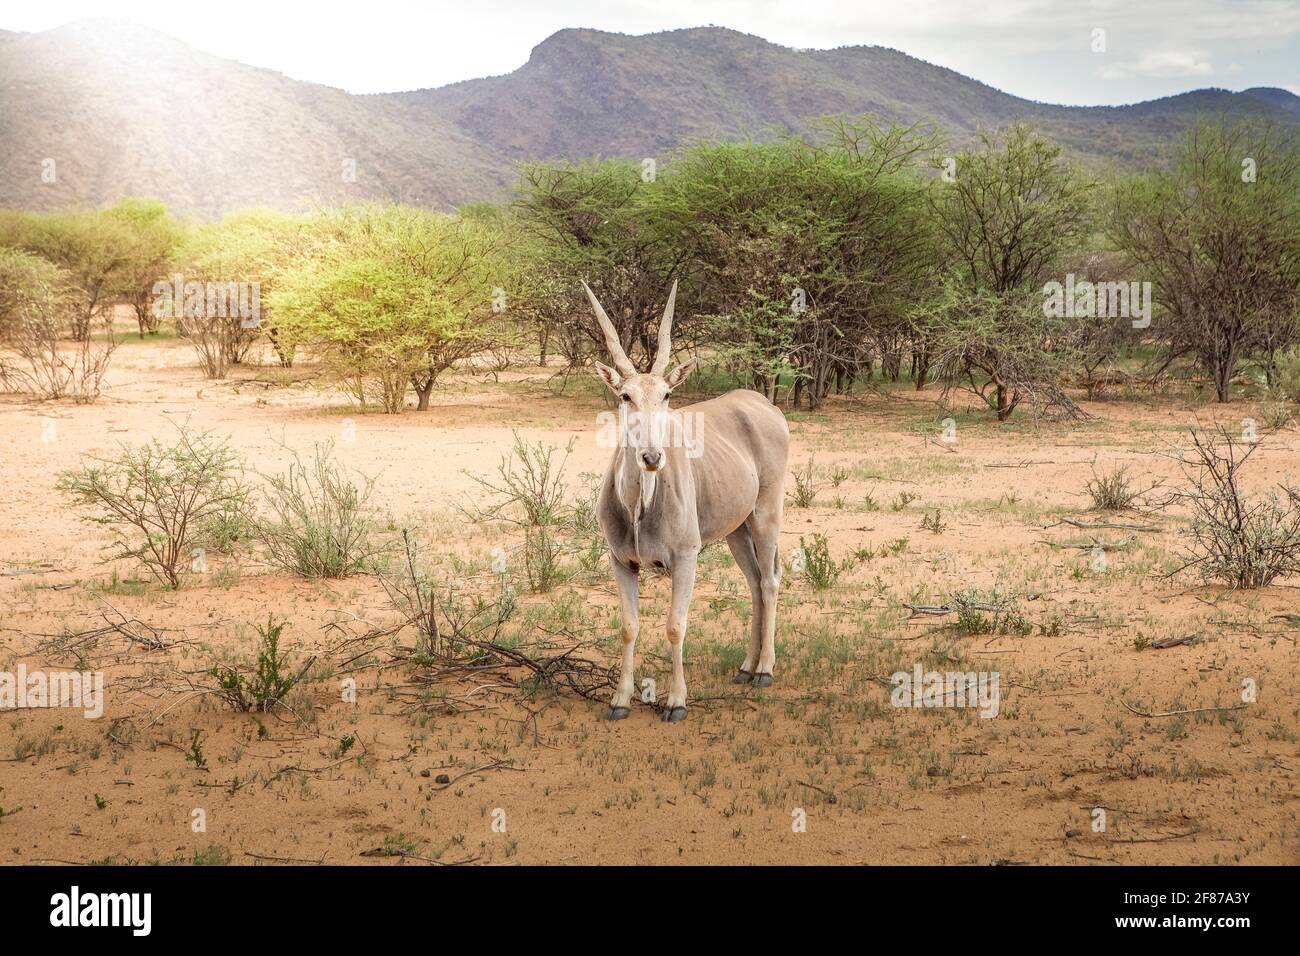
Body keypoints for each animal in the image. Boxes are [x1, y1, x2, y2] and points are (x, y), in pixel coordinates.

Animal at [584, 280, 789, 722]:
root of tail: (766, 405)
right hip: (736, 530)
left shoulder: (685, 557)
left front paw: (677, 701)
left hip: (766, 515)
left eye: (666, 394)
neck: (639, 506)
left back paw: (765, 669)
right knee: (753, 582)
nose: (652, 457)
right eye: (624, 396)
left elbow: (675, 625)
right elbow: (628, 626)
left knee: (769, 580)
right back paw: (746, 667)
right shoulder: (621, 560)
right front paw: (620, 699)